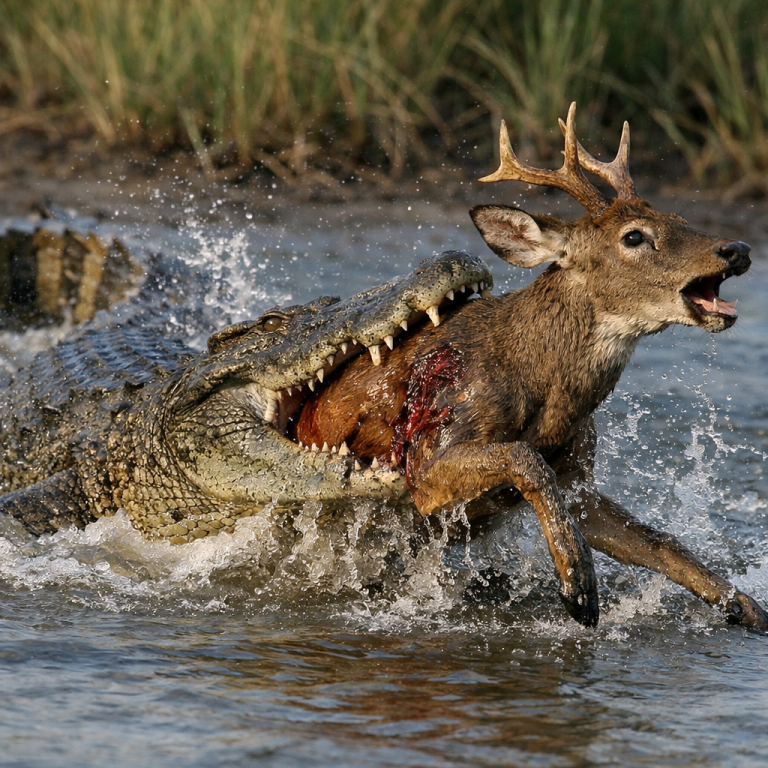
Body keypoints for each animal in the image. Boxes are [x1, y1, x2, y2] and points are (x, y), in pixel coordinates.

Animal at [292, 103, 768, 631]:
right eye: (634, 237)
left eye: (679, 217)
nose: (737, 249)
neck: (541, 390)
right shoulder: (427, 461)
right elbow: (523, 458)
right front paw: (578, 584)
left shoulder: (579, 479)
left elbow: (663, 542)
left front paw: (746, 606)